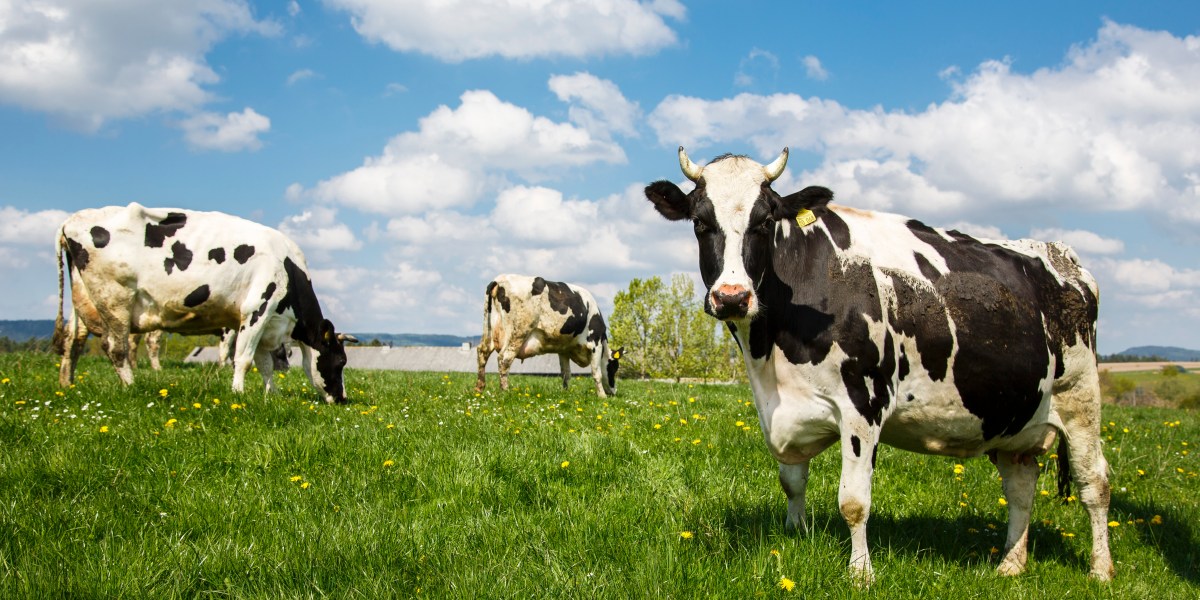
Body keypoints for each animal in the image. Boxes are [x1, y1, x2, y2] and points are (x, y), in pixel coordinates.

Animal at [54, 203, 352, 404]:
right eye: (340, 361)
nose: (342, 398)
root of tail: (69, 222)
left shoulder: (265, 322)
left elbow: (264, 363)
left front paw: (272, 395)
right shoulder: (255, 310)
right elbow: (242, 359)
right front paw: (238, 393)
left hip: (84, 300)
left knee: (72, 340)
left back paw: (67, 385)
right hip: (114, 298)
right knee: (116, 347)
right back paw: (131, 387)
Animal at [475, 274, 621, 398]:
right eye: (614, 367)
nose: (613, 392)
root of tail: (499, 280)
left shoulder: (564, 349)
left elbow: (566, 373)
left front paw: (565, 392)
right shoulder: (596, 344)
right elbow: (597, 373)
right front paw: (602, 396)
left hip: (489, 329)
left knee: (482, 352)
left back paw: (479, 388)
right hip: (518, 333)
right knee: (504, 359)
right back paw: (505, 391)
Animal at [644, 148, 1112, 584]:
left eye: (764, 221)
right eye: (700, 223)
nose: (732, 297)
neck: (770, 352)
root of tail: (1061, 254)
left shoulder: (863, 402)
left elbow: (853, 501)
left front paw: (861, 573)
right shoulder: (785, 407)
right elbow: (792, 482)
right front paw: (795, 535)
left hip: (1081, 400)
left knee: (1095, 484)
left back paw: (1101, 570)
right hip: (1012, 418)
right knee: (1020, 488)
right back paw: (1011, 565)